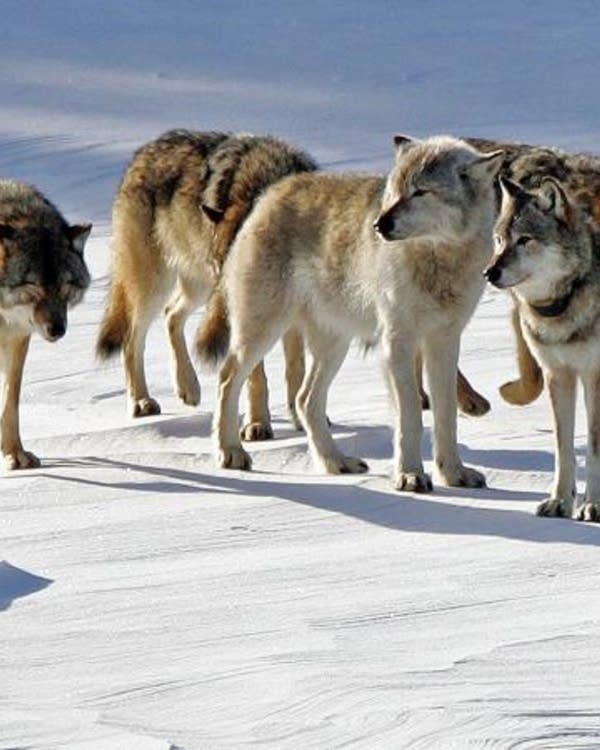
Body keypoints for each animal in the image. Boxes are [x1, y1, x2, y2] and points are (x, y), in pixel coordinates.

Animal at [0, 180, 91, 469]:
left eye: (64, 286)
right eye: (34, 286)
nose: (57, 330)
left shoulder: (17, 337)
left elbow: (10, 402)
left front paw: (14, 453)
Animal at [96, 130, 317, 438]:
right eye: (225, 267)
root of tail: (141, 154)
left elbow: (295, 368)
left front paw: (302, 420)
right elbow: (256, 377)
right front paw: (258, 424)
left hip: (197, 287)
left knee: (171, 314)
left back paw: (188, 387)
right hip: (156, 286)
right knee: (132, 337)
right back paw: (141, 401)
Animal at [197, 135, 503, 491]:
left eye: (421, 192)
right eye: (394, 191)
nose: (380, 224)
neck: (438, 259)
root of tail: (271, 192)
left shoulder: (445, 341)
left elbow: (446, 416)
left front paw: (453, 474)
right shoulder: (397, 342)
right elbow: (411, 415)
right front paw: (410, 475)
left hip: (334, 345)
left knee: (304, 400)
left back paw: (335, 462)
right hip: (262, 333)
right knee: (227, 379)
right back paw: (231, 452)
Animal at [485, 172, 600, 522]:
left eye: (525, 239)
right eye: (499, 240)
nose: (489, 272)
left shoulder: (594, 377)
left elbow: (593, 450)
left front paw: (592, 505)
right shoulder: (557, 375)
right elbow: (563, 448)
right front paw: (559, 502)